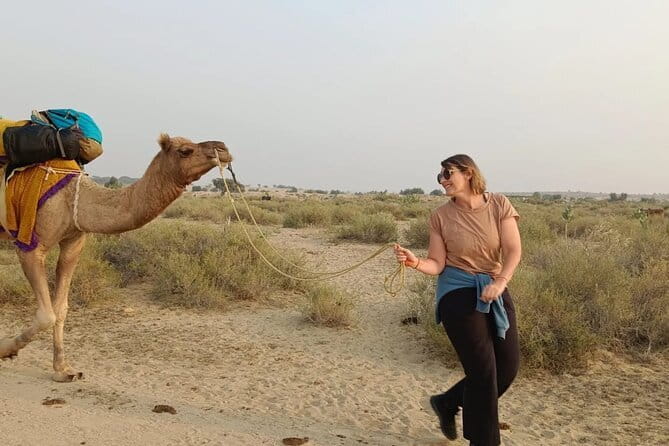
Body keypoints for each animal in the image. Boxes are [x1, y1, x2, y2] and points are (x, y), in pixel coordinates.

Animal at [0, 133, 232, 381]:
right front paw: (6, 350)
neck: (74, 197)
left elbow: (60, 309)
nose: (223, 148)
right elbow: (47, 315)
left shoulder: (73, 242)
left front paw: (63, 370)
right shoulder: (30, 246)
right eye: (185, 150)